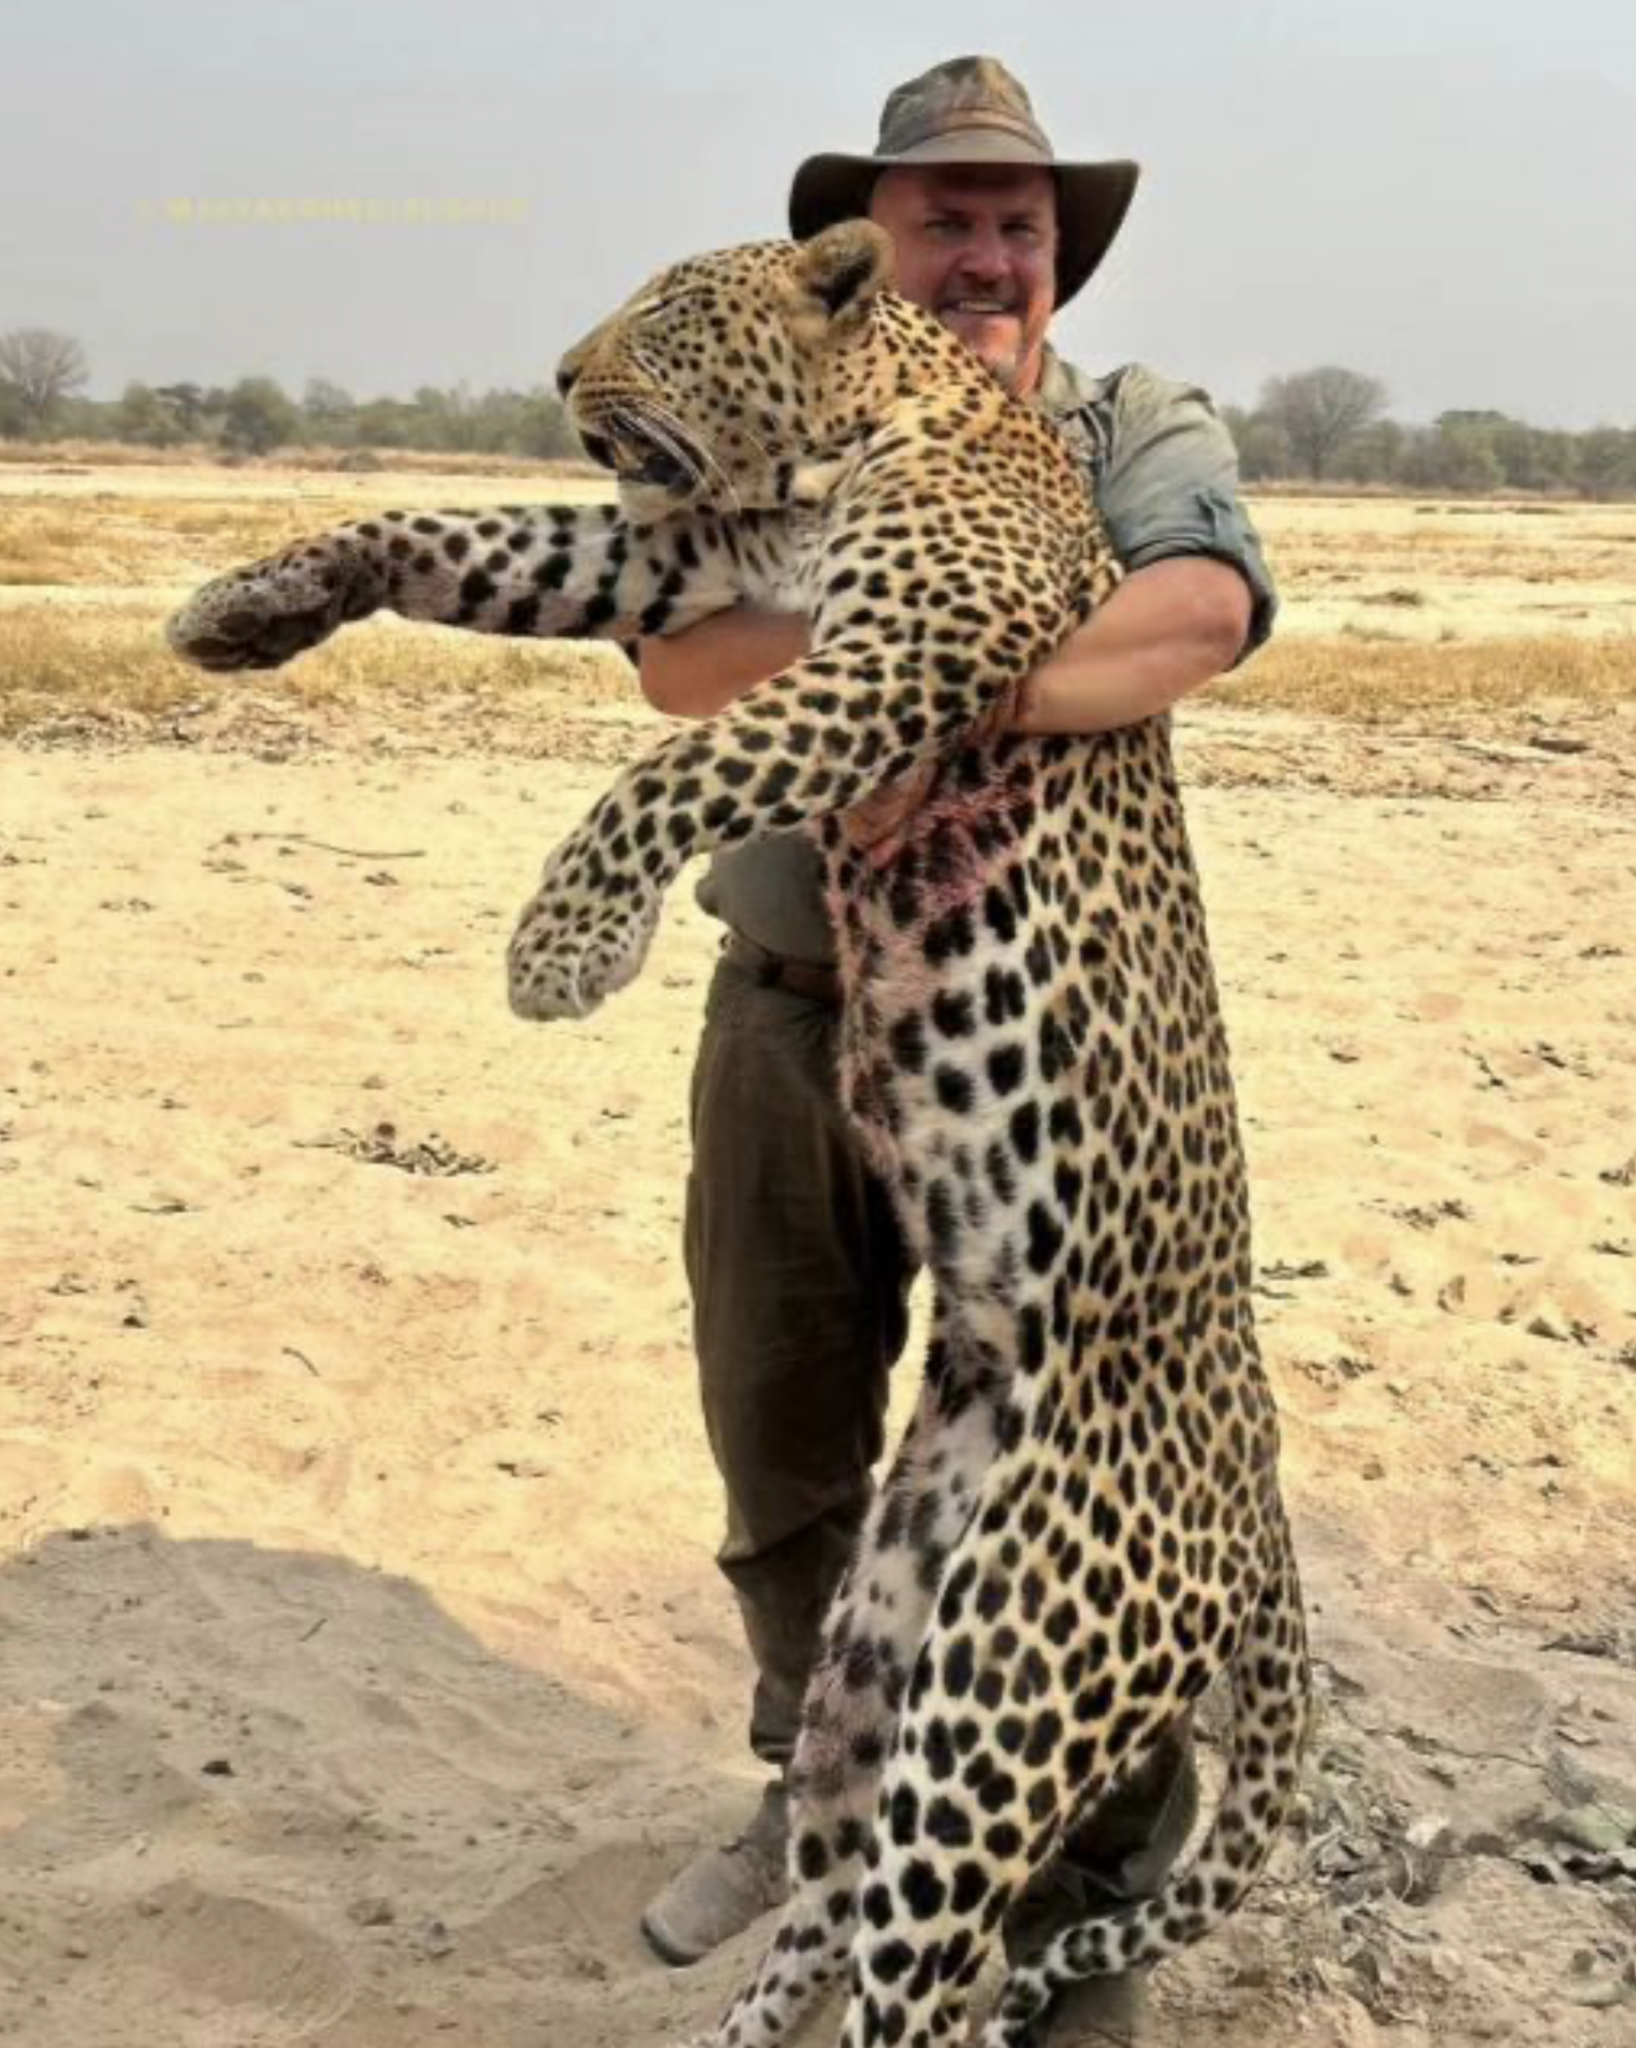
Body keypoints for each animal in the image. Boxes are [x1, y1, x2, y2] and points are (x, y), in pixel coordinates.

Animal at [168, 220, 1311, 2048]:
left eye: (669, 313)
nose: (563, 372)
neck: (862, 431)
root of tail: (1261, 1494)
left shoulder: (899, 652)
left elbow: (688, 758)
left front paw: (563, 946)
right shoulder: (687, 562)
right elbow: (457, 533)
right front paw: (244, 604)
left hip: (998, 1706)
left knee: (934, 1972)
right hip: (881, 1653)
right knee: (825, 1906)